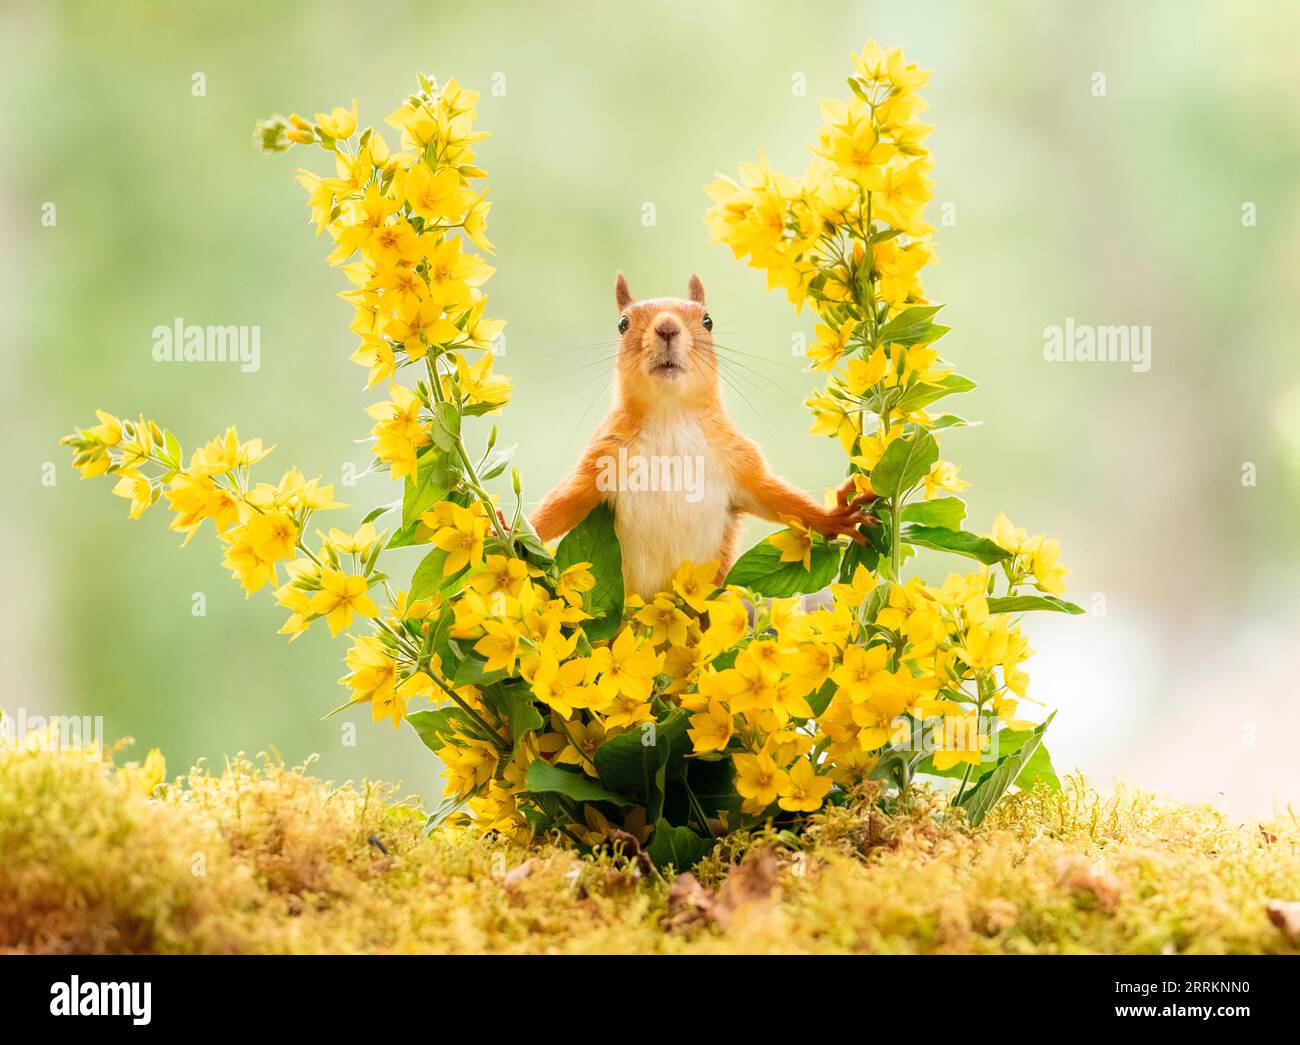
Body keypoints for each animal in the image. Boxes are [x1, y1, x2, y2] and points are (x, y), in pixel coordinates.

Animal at [532, 273, 874, 597]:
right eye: (623, 324)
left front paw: (834, 518)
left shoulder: (738, 461)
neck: (670, 417)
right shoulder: (600, 462)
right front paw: (518, 538)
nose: (667, 327)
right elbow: (562, 507)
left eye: (708, 321)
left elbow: (776, 497)